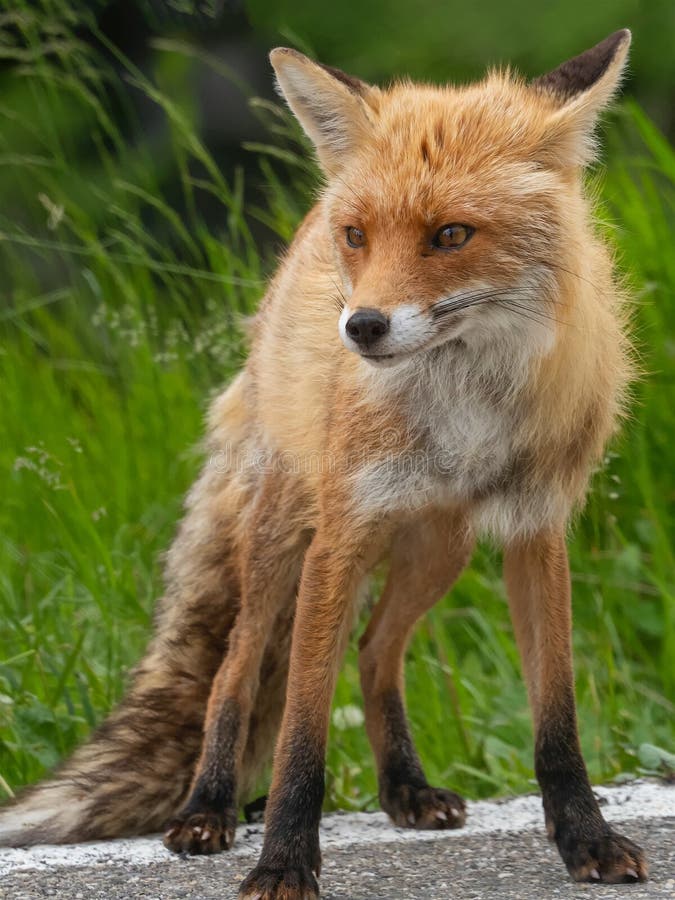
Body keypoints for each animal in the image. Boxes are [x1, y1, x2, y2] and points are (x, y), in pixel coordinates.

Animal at [0, 27, 647, 898]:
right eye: (359, 237)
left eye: (451, 235)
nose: (361, 326)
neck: (462, 411)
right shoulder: (338, 540)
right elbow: (300, 733)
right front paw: (281, 863)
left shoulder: (534, 530)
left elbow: (556, 719)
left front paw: (585, 838)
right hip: (283, 539)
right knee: (236, 670)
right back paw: (206, 808)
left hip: (436, 549)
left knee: (375, 651)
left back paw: (403, 787)